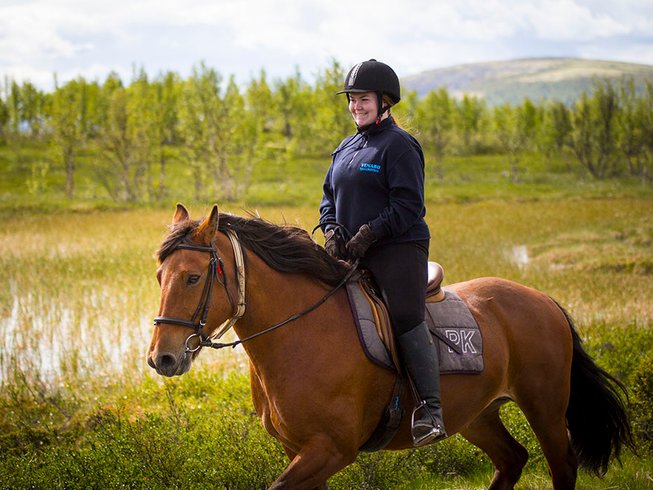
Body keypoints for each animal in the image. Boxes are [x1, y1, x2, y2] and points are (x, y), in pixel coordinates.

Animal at [147, 204, 634, 490]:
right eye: (159, 276)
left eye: (193, 277)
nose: (161, 358)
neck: (300, 335)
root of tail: (543, 299)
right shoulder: (299, 450)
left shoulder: (330, 449)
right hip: (477, 415)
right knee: (512, 460)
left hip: (545, 409)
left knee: (561, 465)